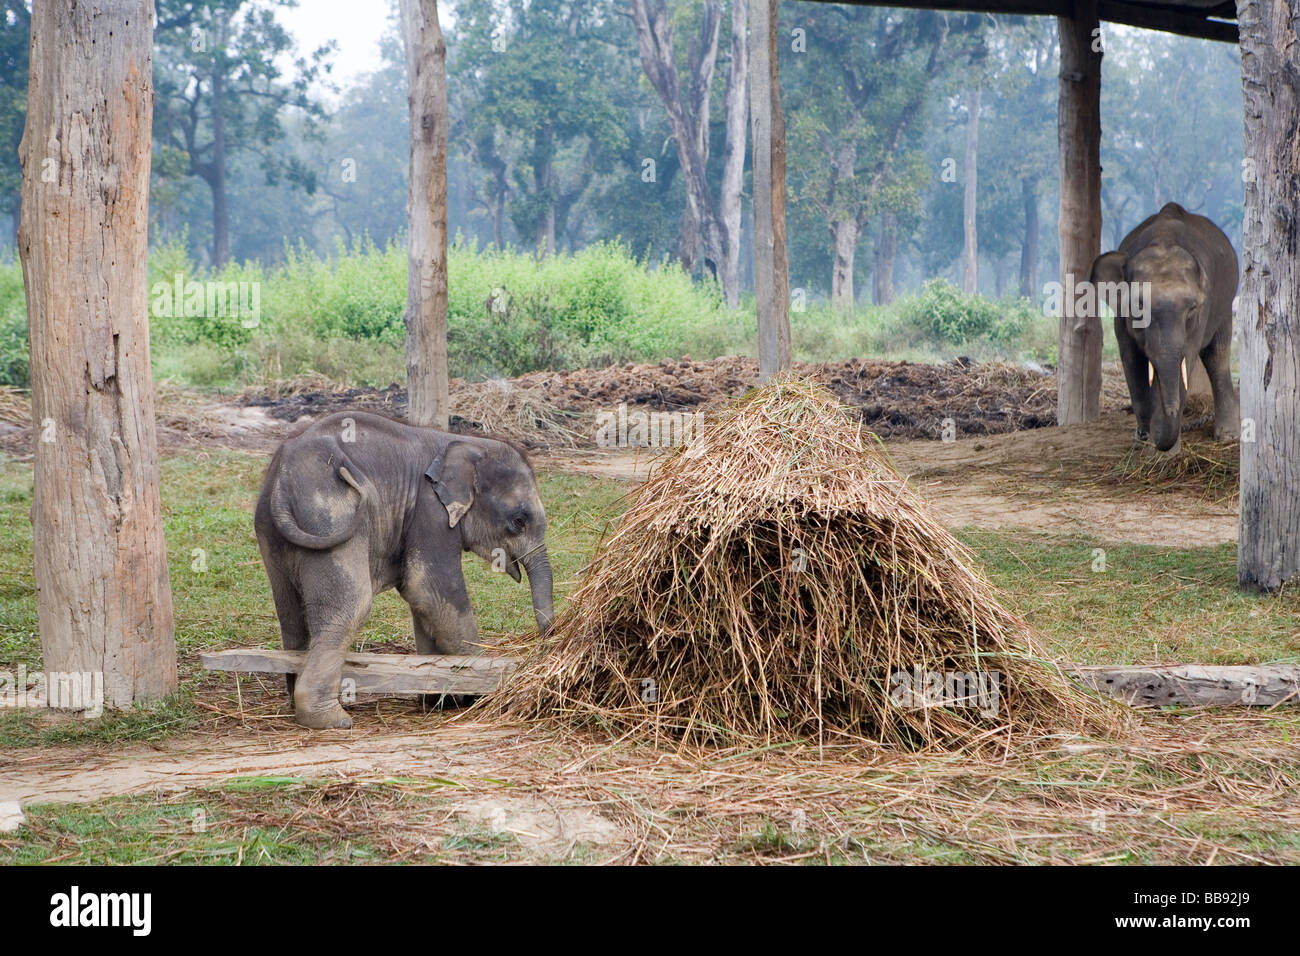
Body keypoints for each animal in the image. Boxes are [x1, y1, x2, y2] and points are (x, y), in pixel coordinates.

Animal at [254, 411, 554, 729]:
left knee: (290, 612)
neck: (466, 443)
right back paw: (332, 720)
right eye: (519, 520)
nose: (546, 639)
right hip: (327, 516)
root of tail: (282, 478)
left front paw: (441, 698)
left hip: (272, 531)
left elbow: (425, 600)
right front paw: (481, 689)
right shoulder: (429, 510)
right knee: (350, 605)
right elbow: (430, 589)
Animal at [1089, 202, 1239, 452]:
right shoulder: (1121, 318)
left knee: (1217, 355)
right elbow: (1132, 360)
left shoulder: (1201, 317)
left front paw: (1166, 449)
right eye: (1138, 307)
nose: (1145, 433)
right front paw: (1148, 438)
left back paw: (1227, 436)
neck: (1163, 242)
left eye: (1192, 308)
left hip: (1224, 308)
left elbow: (1185, 362)